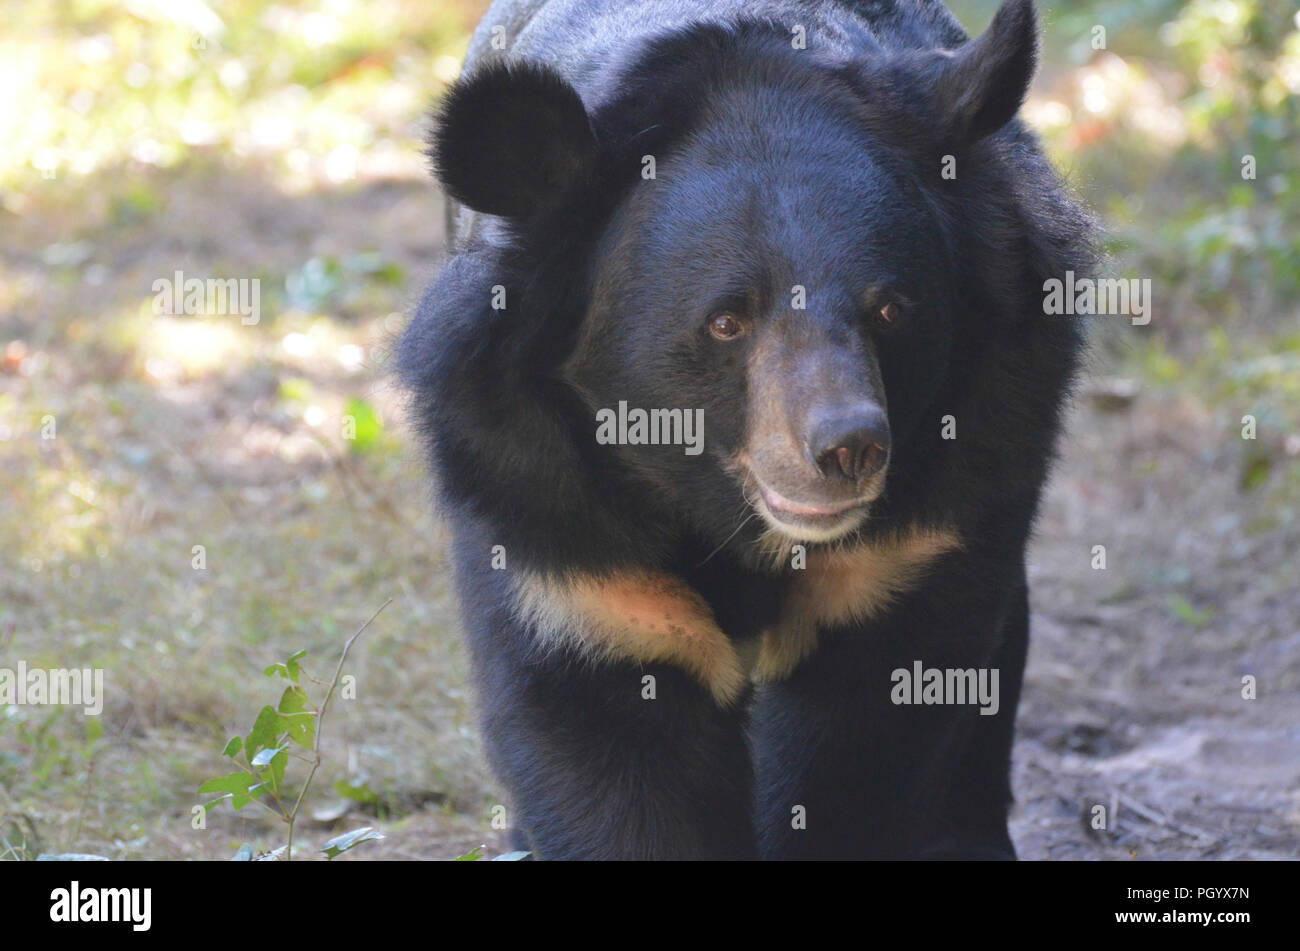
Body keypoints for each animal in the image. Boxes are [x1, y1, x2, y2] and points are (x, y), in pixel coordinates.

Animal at [398, 0, 1095, 859]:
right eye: (728, 320)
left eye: (890, 308)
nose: (849, 448)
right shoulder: (559, 537)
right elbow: (609, 755)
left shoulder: (929, 521)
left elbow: (866, 744)